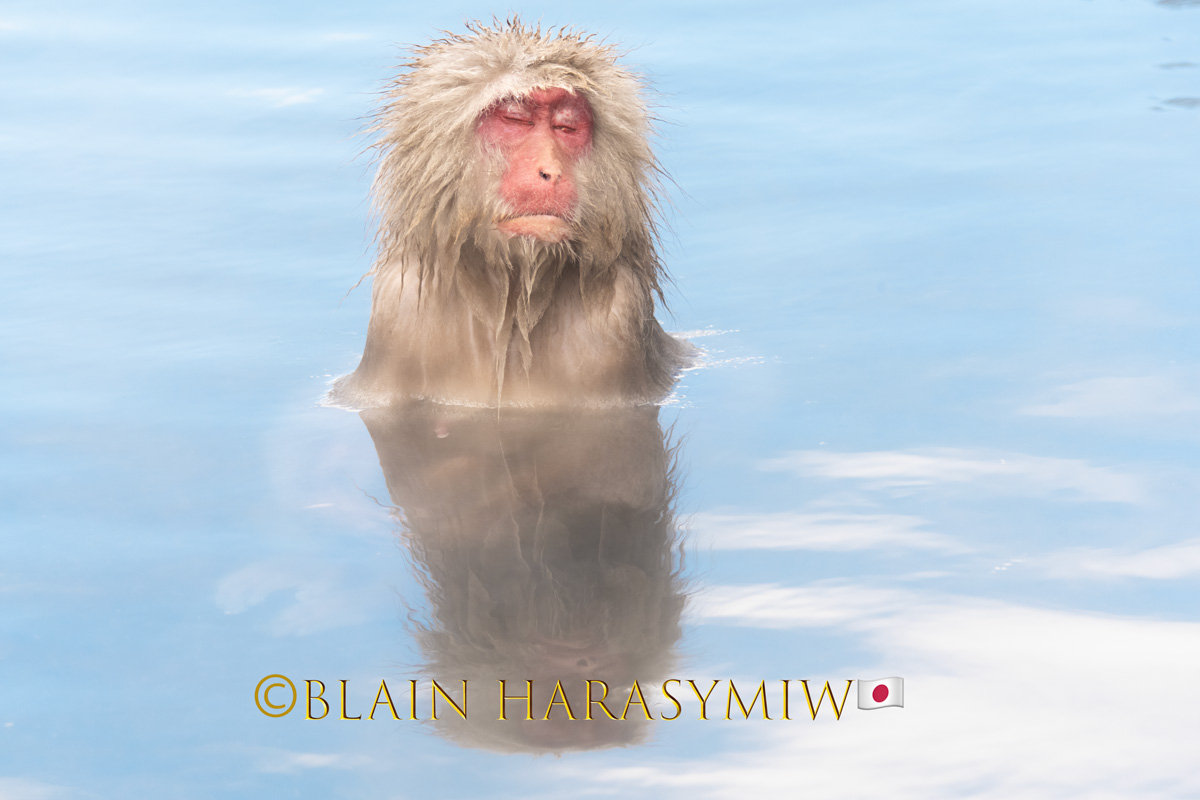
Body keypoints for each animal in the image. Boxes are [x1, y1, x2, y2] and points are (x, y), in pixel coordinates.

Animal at [329, 20, 693, 408]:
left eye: (566, 127)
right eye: (515, 120)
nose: (550, 171)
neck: (514, 296)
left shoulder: (620, 317)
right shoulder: (397, 309)